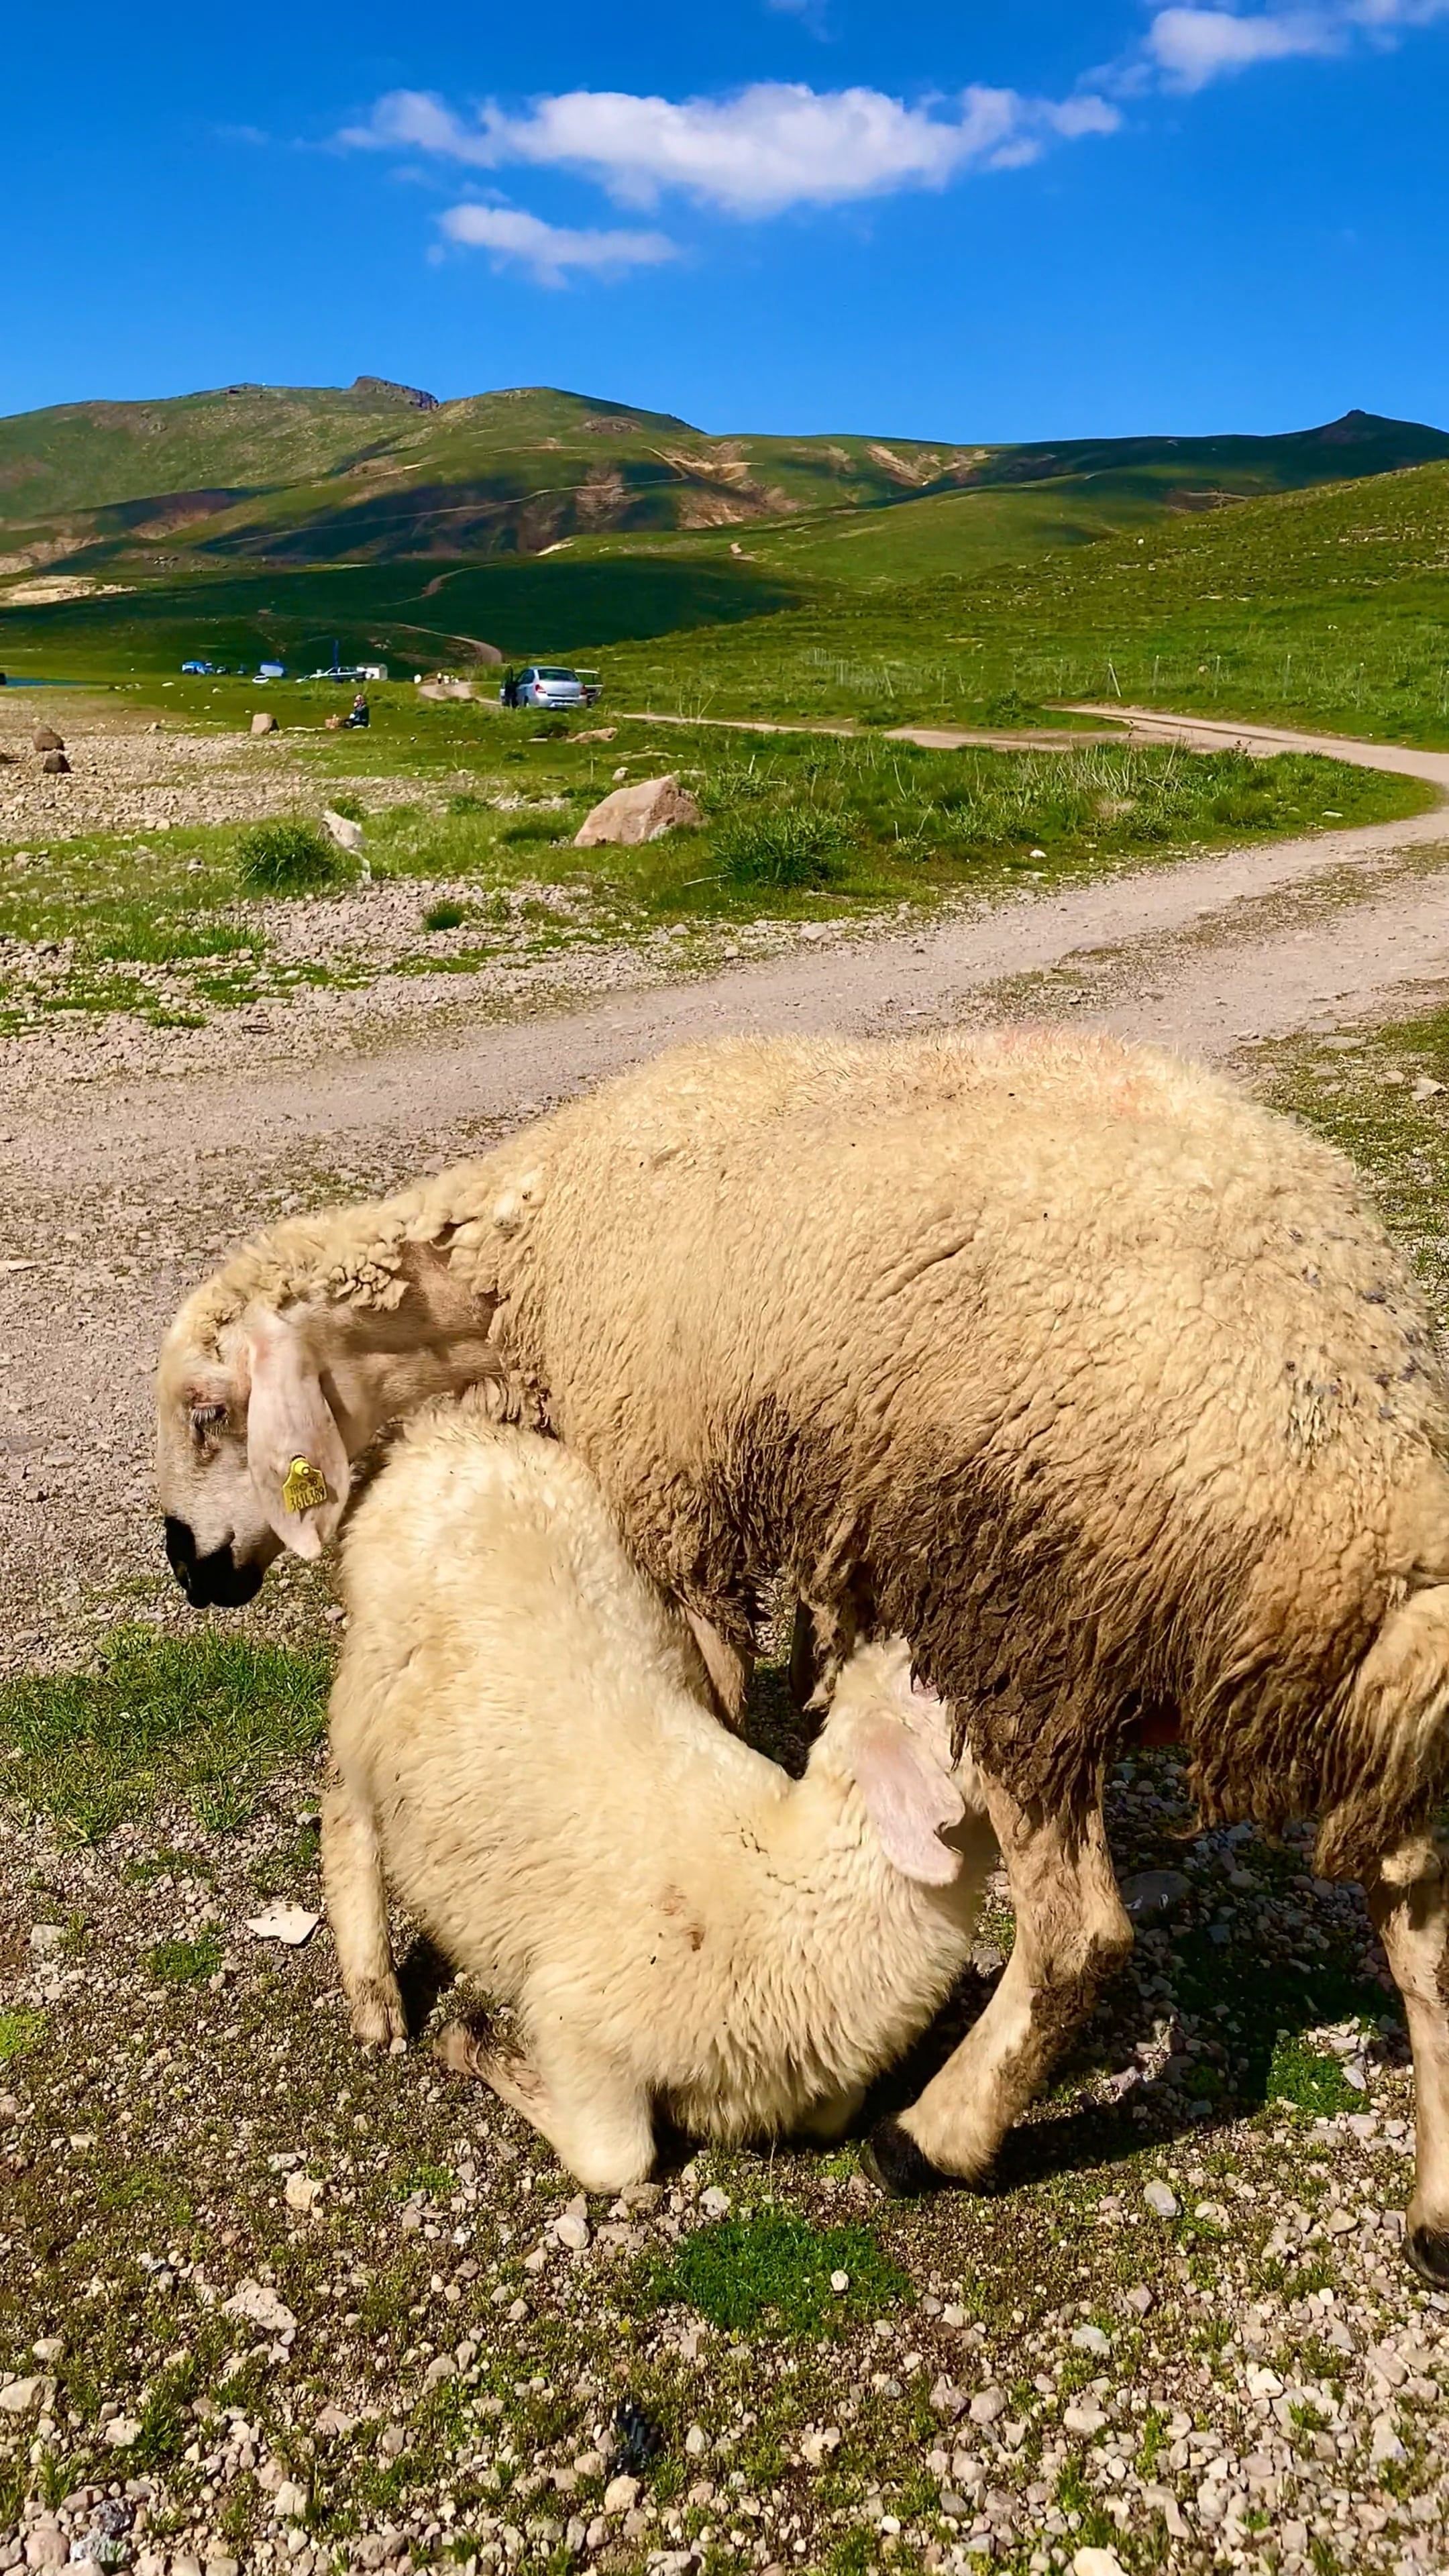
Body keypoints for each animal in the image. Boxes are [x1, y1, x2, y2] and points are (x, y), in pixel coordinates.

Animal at [323, 1397, 995, 2188]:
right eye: (924, 1683)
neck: (793, 1883)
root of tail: (441, 1434)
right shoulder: (577, 2017)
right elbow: (620, 2159)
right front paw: (481, 2049)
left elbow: (834, 2114)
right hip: (368, 1692)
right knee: (345, 1817)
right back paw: (374, 1994)